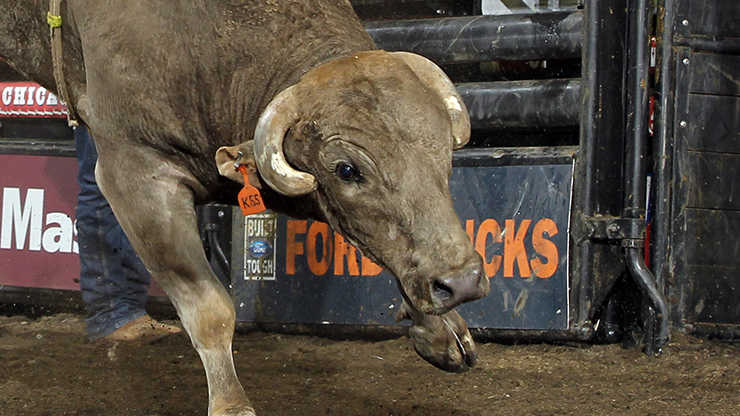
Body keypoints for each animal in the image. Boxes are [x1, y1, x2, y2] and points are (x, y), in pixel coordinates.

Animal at [1, 1, 490, 414]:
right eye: (347, 169)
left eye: (443, 151)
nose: (462, 282)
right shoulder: (136, 176)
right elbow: (209, 309)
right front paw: (230, 403)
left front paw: (442, 329)